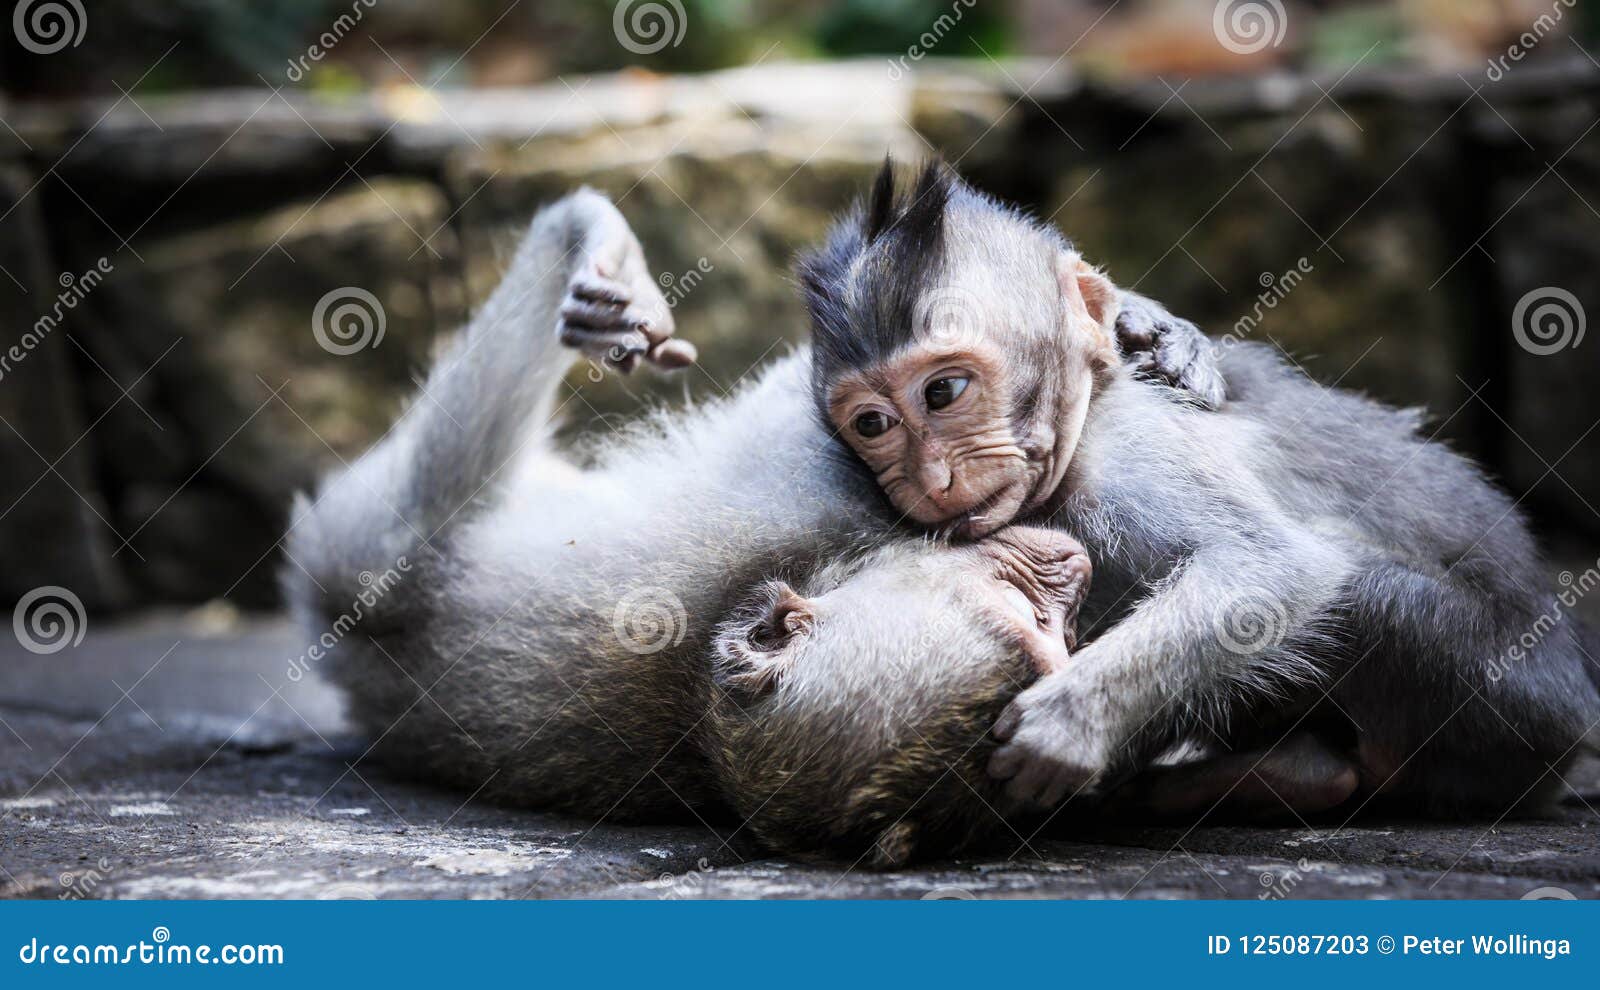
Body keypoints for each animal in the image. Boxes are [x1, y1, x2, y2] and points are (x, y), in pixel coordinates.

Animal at [283, 187, 1234, 865]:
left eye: (1060, 633)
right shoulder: (831, 489)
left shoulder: (820, 487)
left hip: (367, 548)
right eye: (1025, 604)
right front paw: (1139, 322)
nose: (1067, 572)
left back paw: (578, 230)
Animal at [800, 159, 1600, 818]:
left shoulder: (1127, 455)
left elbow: (1268, 568)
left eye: (944, 392)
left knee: (1367, 594)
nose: (931, 478)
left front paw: (1073, 718)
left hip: (1514, 700)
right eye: (873, 424)